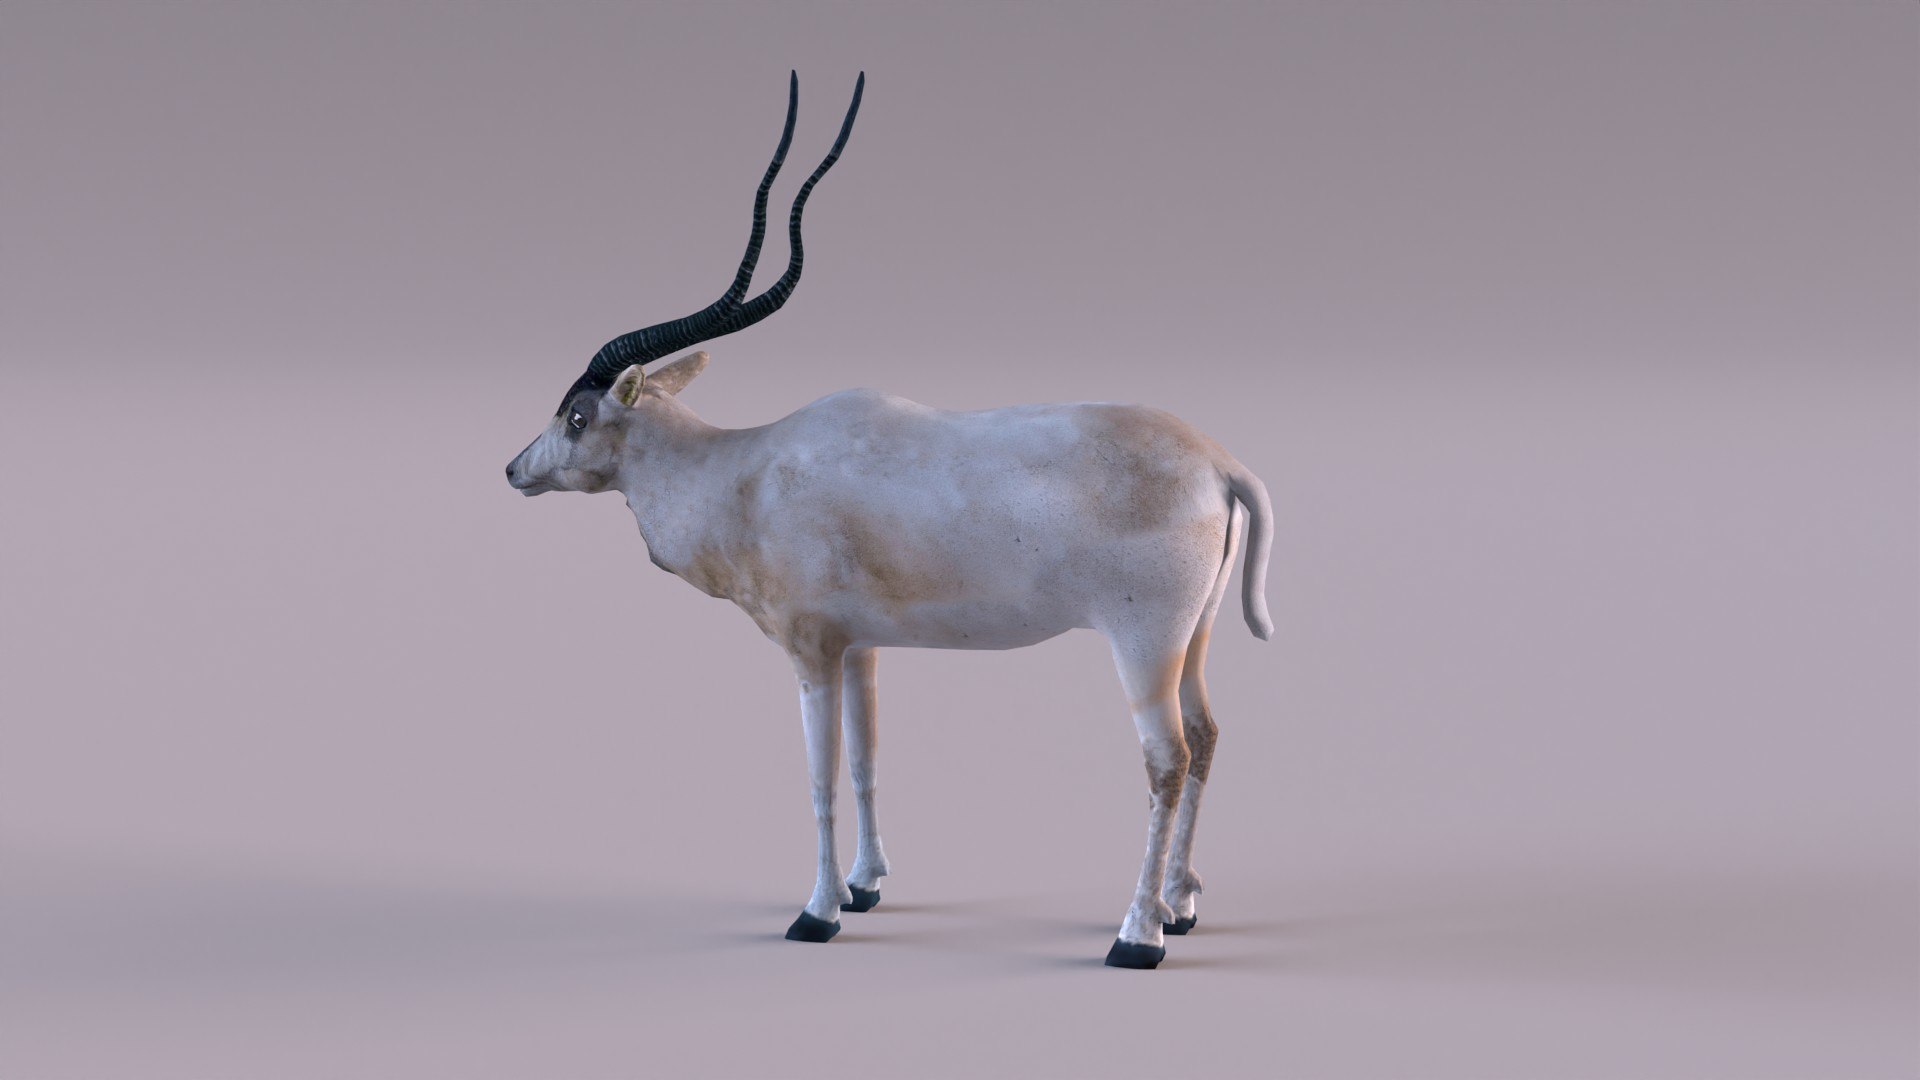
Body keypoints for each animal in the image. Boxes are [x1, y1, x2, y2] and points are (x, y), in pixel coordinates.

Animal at [505, 73, 1273, 969]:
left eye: (578, 415)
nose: (514, 469)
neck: (741, 470)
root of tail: (1218, 462)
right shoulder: (861, 647)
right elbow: (867, 757)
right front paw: (864, 887)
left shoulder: (808, 649)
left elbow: (820, 775)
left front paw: (815, 913)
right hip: (1195, 635)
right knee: (1206, 735)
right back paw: (1181, 905)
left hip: (1144, 641)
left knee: (1167, 758)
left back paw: (1138, 935)